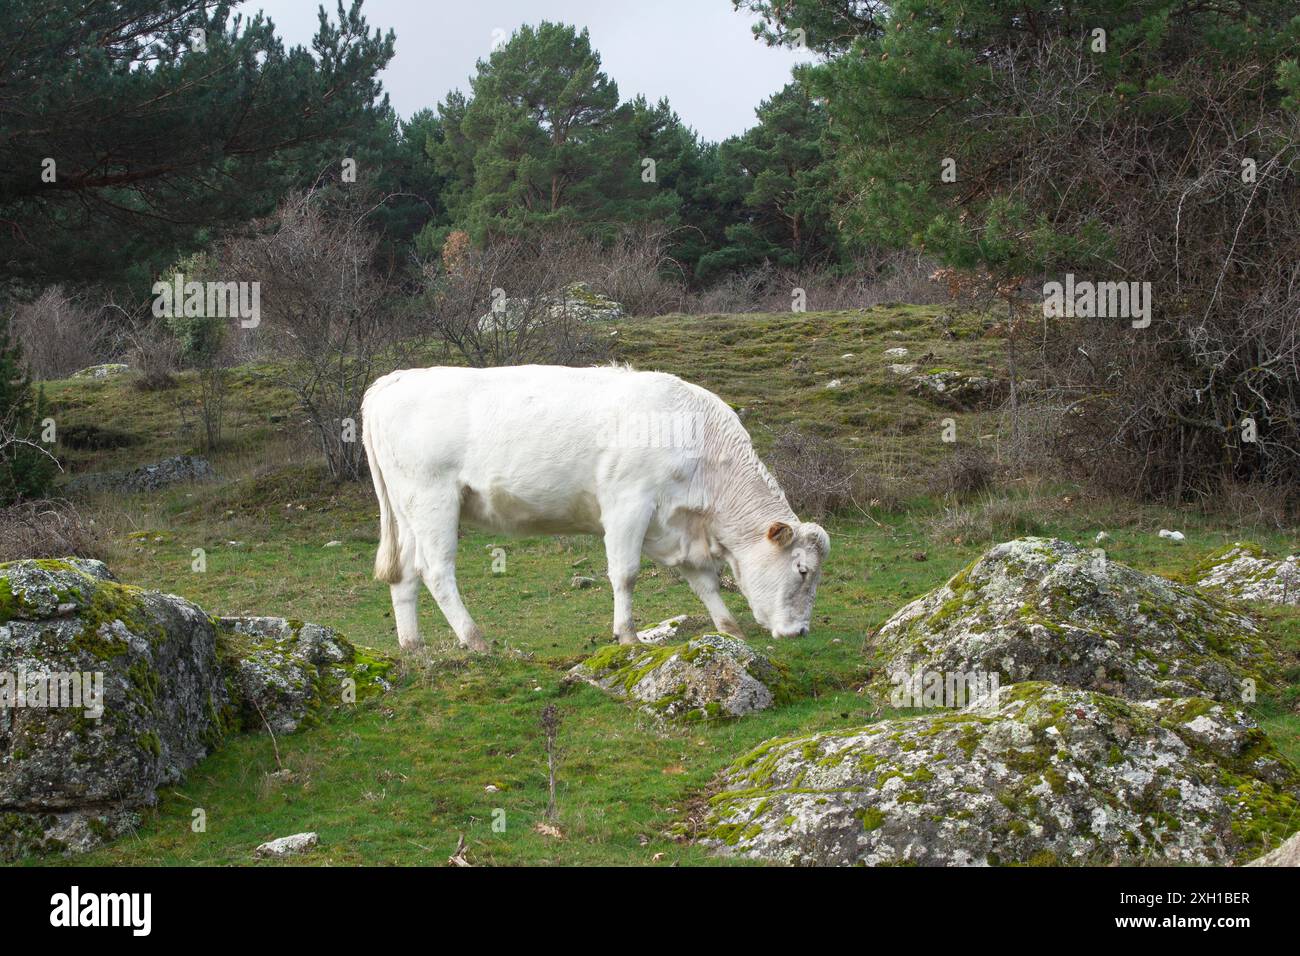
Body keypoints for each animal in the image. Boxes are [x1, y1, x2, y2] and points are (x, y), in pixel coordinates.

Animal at [361, 364, 829, 652]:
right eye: (802, 570)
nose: (801, 631)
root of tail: (394, 380)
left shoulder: (675, 526)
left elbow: (704, 582)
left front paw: (729, 629)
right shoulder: (628, 503)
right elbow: (625, 574)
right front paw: (627, 636)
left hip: (406, 510)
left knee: (403, 574)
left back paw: (413, 647)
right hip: (433, 498)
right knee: (436, 571)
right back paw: (474, 639)